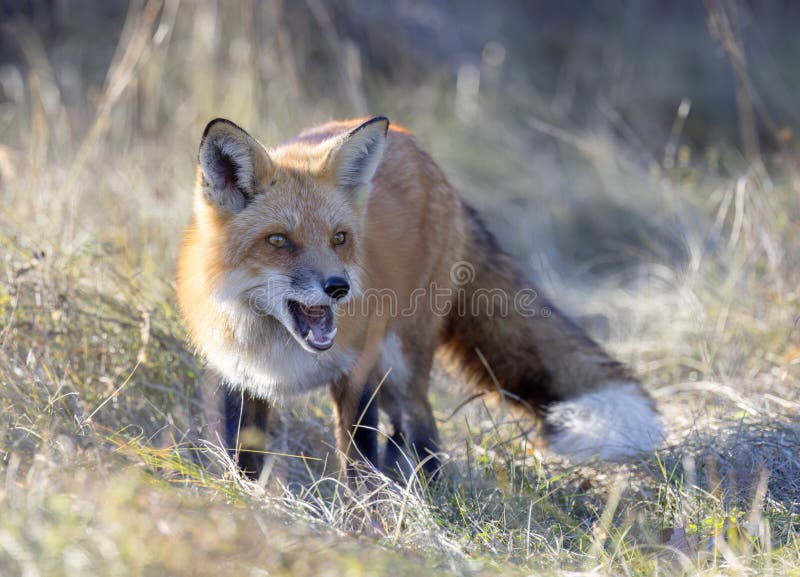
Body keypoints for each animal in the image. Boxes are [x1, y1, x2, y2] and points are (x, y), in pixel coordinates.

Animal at [177, 115, 663, 478]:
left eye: (339, 238)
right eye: (279, 241)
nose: (339, 287)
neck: (280, 349)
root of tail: (417, 146)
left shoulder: (356, 370)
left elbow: (357, 464)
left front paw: (363, 525)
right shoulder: (237, 377)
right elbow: (244, 464)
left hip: (402, 357)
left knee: (421, 426)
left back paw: (427, 491)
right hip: (391, 369)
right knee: (400, 434)